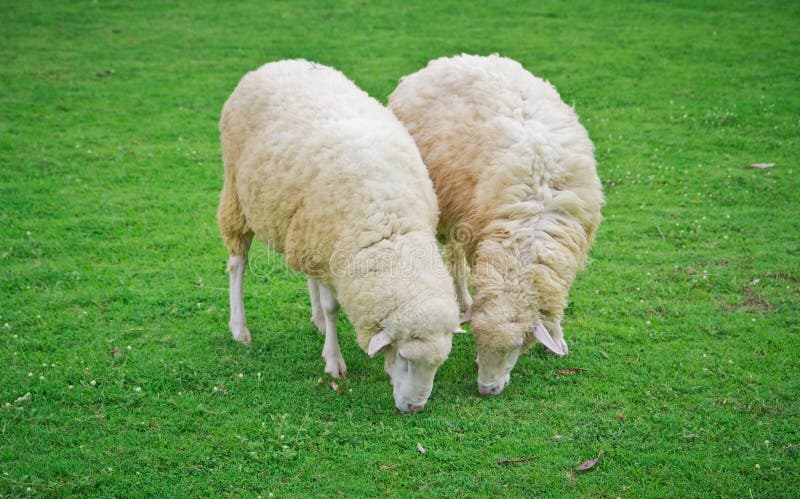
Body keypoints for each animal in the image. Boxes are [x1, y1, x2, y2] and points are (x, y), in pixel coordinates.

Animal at [217, 59, 460, 413]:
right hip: (236, 193)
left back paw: (314, 317)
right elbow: (333, 308)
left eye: (438, 364)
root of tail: (275, 64)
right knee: (237, 264)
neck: (391, 225)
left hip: (305, 229)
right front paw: (333, 361)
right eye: (404, 356)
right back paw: (240, 328)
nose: (414, 408)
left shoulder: (327, 249)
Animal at [388, 54, 604, 395]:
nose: (486, 390)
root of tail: (444, 61)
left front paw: (557, 336)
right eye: (477, 346)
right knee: (454, 258)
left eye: (517, 347)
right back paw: (462, 299)